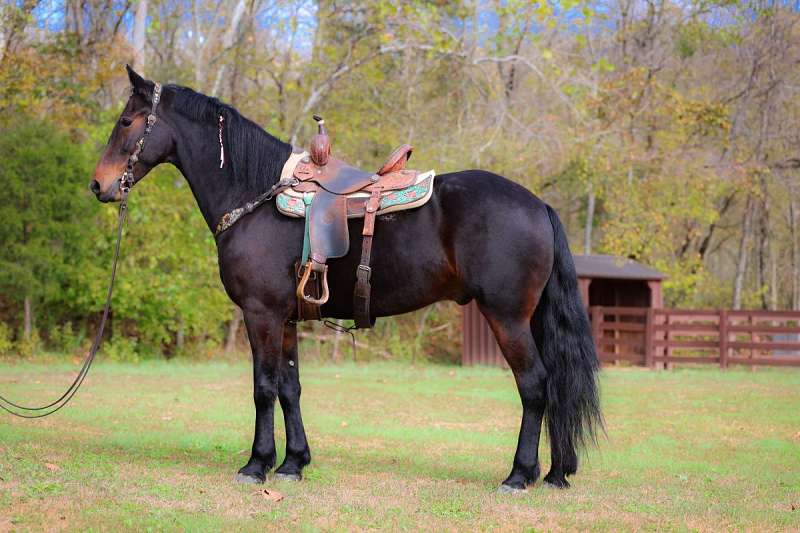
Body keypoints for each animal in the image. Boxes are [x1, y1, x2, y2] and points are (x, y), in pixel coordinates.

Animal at [90, 66, 602, 492]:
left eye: (127, 122)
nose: (99, 185)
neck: (255, 197)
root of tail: (538, 204)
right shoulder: (287, 318)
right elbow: (290, 388)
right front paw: (293, 463)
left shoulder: (261, 314)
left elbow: (263, 387)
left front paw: (256, 465)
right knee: (554, 385)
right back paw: (555, 473)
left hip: (507, 317)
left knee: (534, 385)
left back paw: (519, 474)